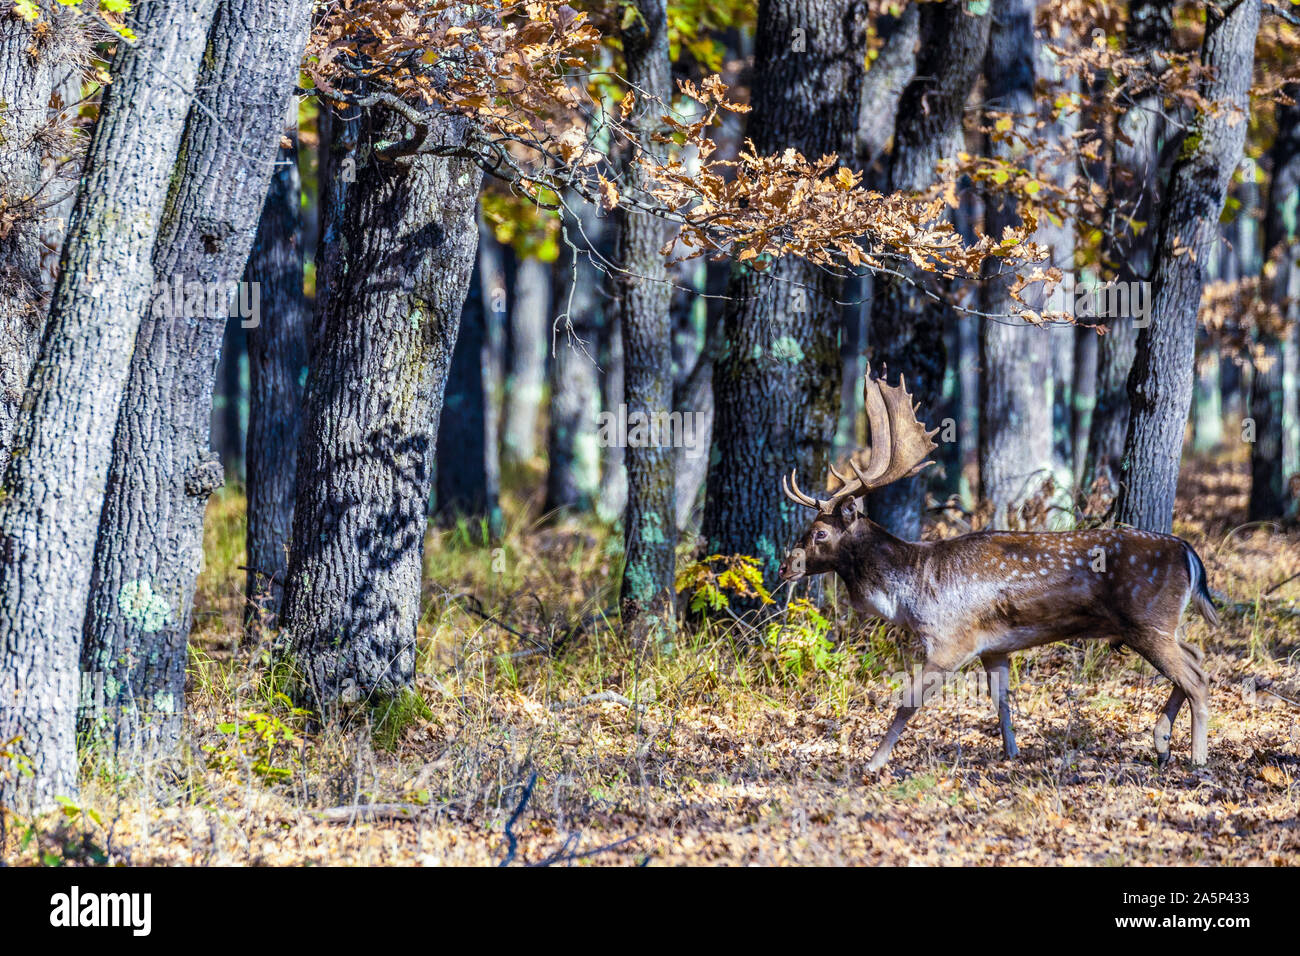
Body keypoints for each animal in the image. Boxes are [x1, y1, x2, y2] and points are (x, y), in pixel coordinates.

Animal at [777, 367, 1218, 771]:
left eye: (819, 532)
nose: (785, 567)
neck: (909, 592)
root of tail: (1187, 551)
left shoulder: (949, 641)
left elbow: (908, 702)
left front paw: (872, 763)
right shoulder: (995, 649)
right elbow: (1001, 702)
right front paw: (1011, 753)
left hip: (1147, 621)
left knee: (1196, 678)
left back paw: (1196, 759)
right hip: (1156, 625)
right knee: (1196, 656)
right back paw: (1161, 742)